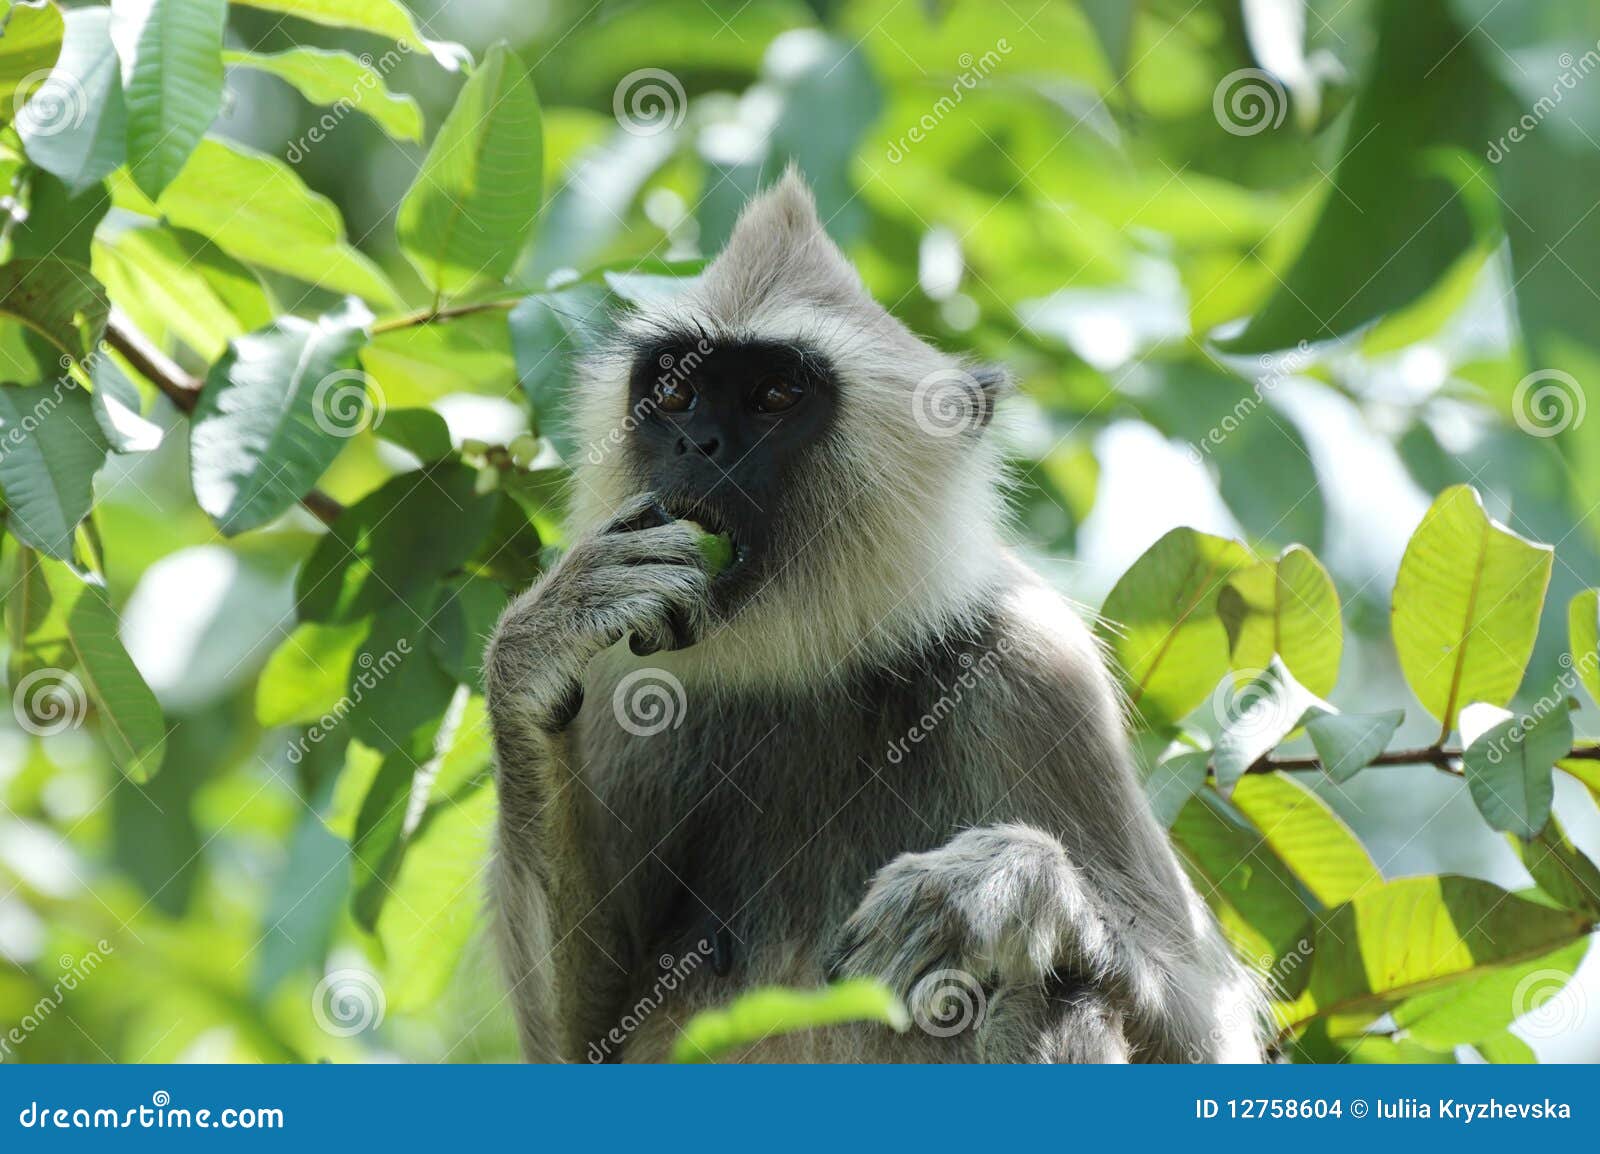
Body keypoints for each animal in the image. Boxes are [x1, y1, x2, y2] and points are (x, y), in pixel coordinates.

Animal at [484, 168, 1267, 1063]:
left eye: (775, 393)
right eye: (675, 391)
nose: (696, 444)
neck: (809, 661)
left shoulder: (1037, 665)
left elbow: (1214, 1036)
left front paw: (1003, 890)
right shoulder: (630, 667)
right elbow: (575, 1037)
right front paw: (539, 645)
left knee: (1063, 989)